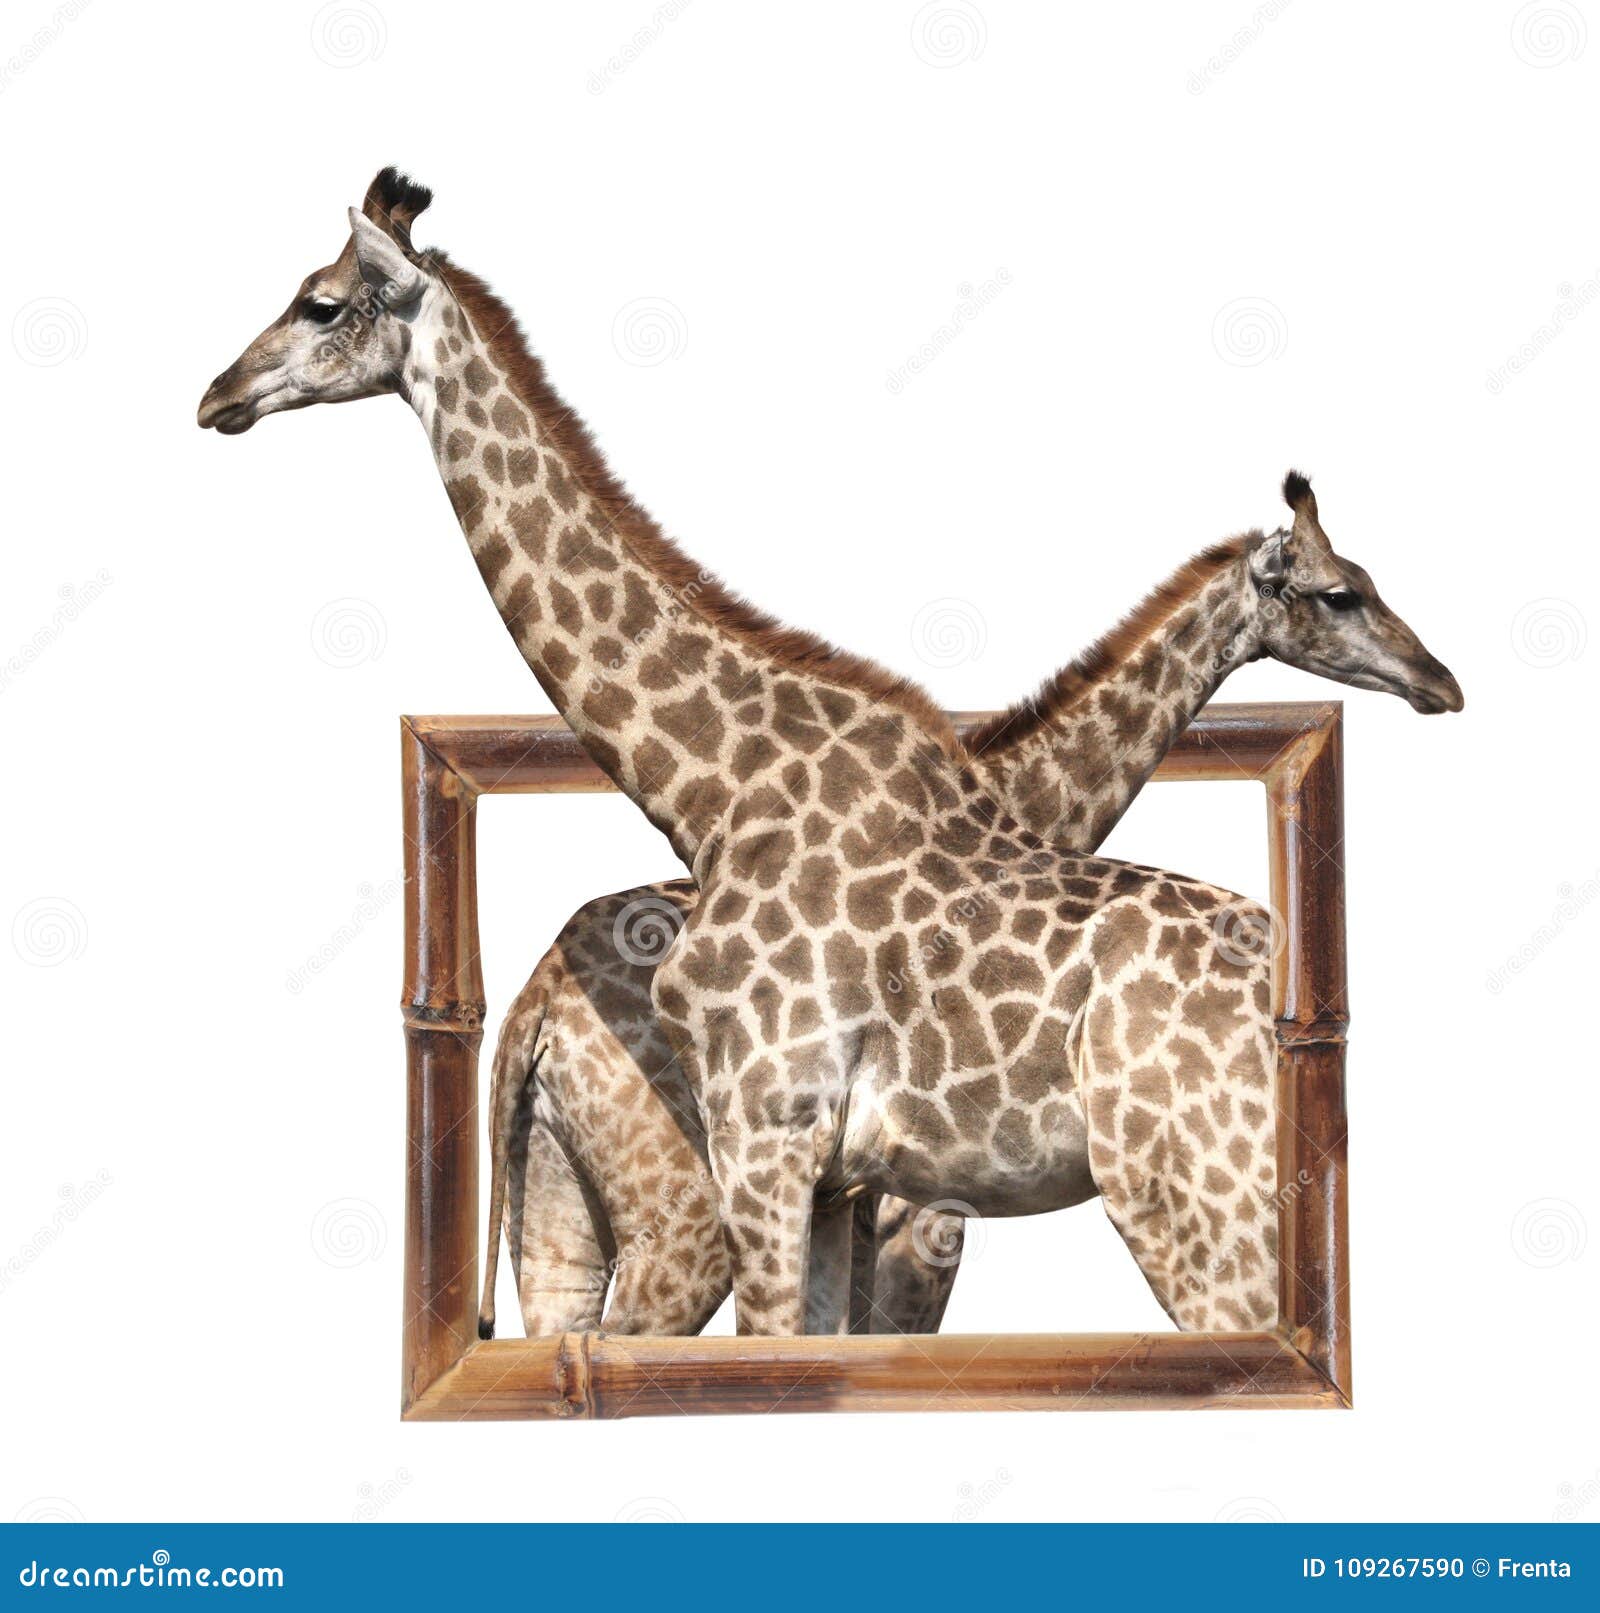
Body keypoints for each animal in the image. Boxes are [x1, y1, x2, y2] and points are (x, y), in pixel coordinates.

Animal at [480, 492, 1460, 1338]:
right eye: (1342, 592)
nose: (1440, 681)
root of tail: (534, 1006)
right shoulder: (909, 1216)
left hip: (555, 1204)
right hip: (678, 1216)